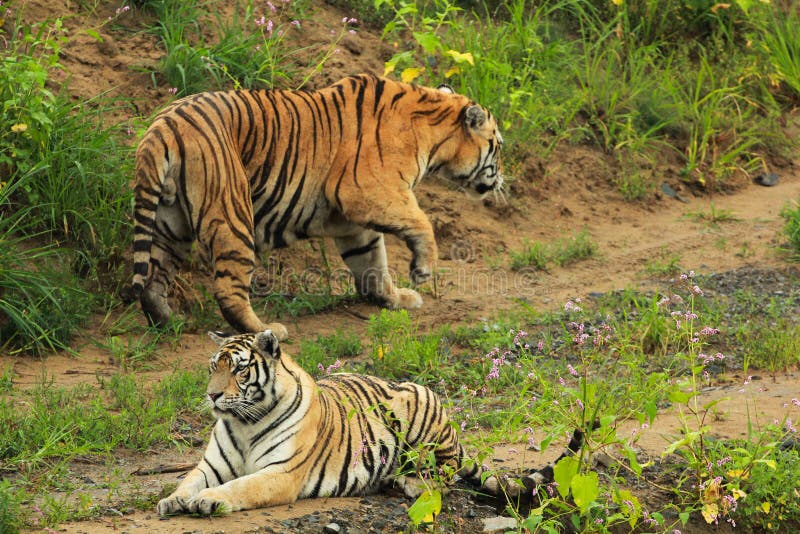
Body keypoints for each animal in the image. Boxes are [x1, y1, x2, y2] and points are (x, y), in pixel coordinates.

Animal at [127, 74, 505, 340]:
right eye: (498, 146)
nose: (503, 181)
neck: (433, 131)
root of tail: (162, 126)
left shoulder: (358, 222)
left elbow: (373, 262)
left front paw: (392, 299)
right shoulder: (369, 191)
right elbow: (421, 222)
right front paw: (423, 270)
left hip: (170, 223)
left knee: (154, 277)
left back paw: (169, 320)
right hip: (232, 212)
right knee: (228, 289)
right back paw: (265, 329)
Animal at [156, 330, 585, 516]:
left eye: (240, 370)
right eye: (213, 368)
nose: (212, 395)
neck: (244, 422)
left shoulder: (281, 473)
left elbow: (241, 487)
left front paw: (208, 501)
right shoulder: (210, 465)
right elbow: (188, 480)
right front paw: (173, 500)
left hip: (421, 409)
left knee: (445, 475)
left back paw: (407, 483)